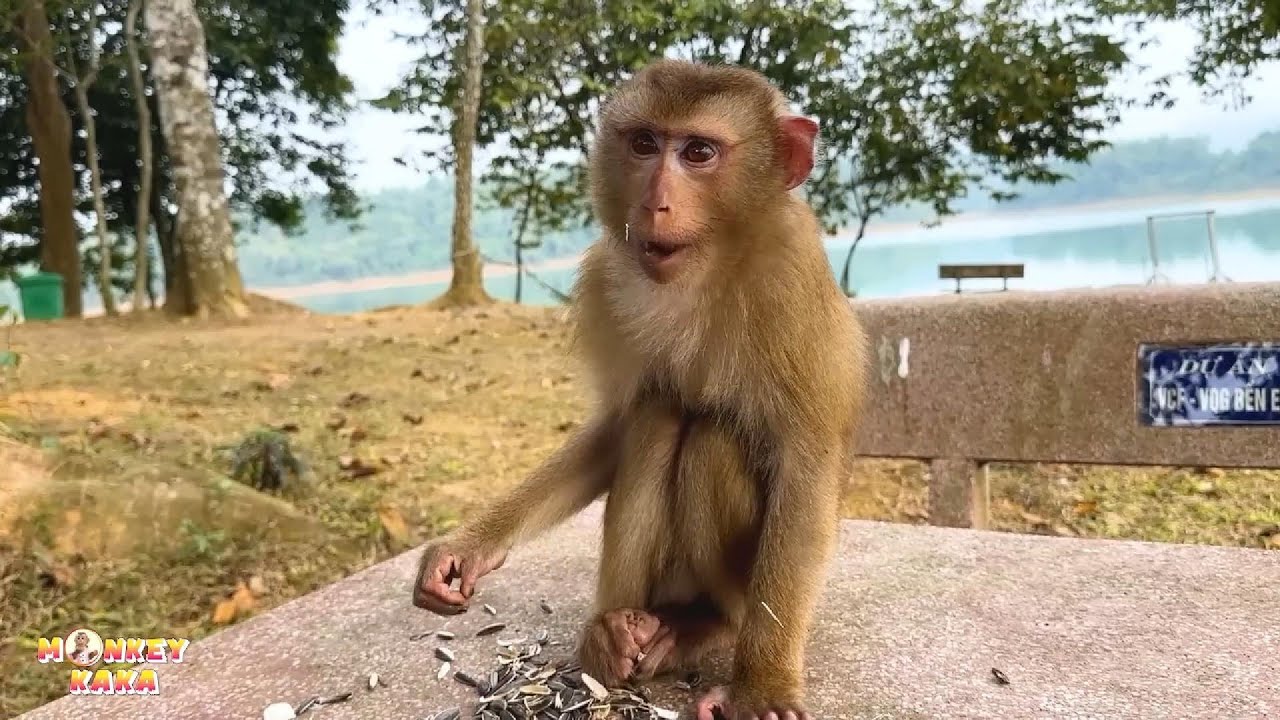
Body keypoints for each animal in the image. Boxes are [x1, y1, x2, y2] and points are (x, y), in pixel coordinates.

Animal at [412, 59, 868, 720]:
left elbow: (804, 469)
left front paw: (761, 686)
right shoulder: (606, 274)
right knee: (658, 414)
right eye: (645, 143)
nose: (654, 203)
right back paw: (612, 636)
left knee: (710, 440)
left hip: (734, 585)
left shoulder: (791, 277)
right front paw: (471, 546)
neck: (704, 272)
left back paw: (704, 626)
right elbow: (618, 426)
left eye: (699, 152)